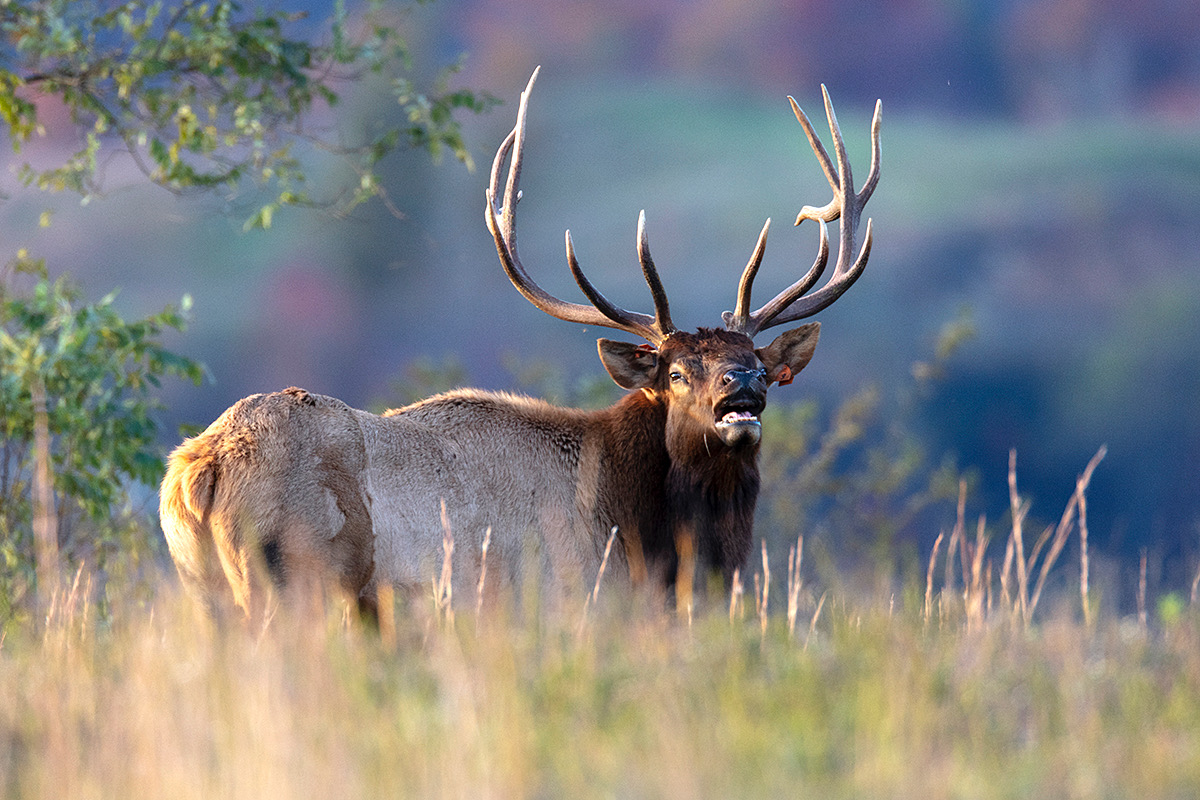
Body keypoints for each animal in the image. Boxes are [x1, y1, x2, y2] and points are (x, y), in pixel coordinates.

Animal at [159, 68, 881, 622]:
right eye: (676, 372)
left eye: (758, 361)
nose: (743, 387)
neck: (645, 538)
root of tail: (198, 469)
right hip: (292, 582)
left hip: (207, 593)